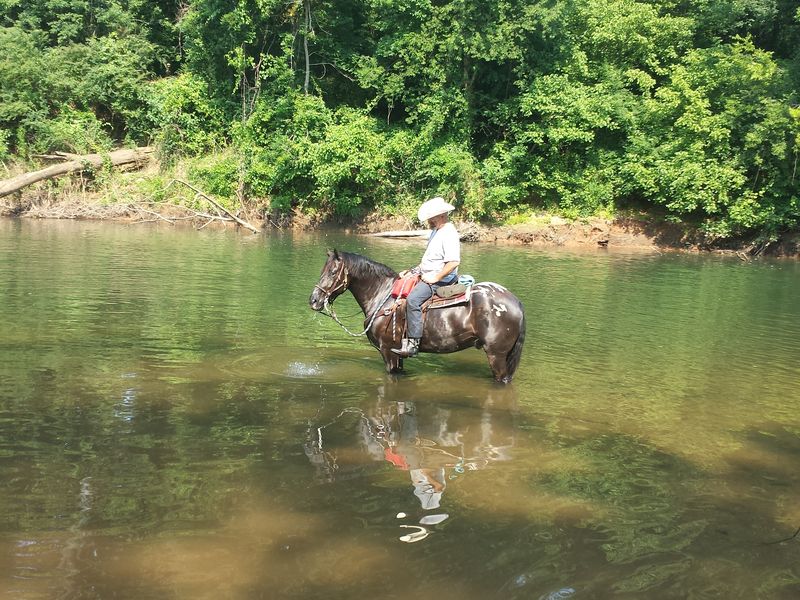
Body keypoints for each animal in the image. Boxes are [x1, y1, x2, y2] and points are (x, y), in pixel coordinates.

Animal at [309, 249, 526, 383]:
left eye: (333, 271)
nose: (313, 300)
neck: (383, 297)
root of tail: (515, 301)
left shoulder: (388, 352)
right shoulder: (398, 355)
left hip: (497, 355)